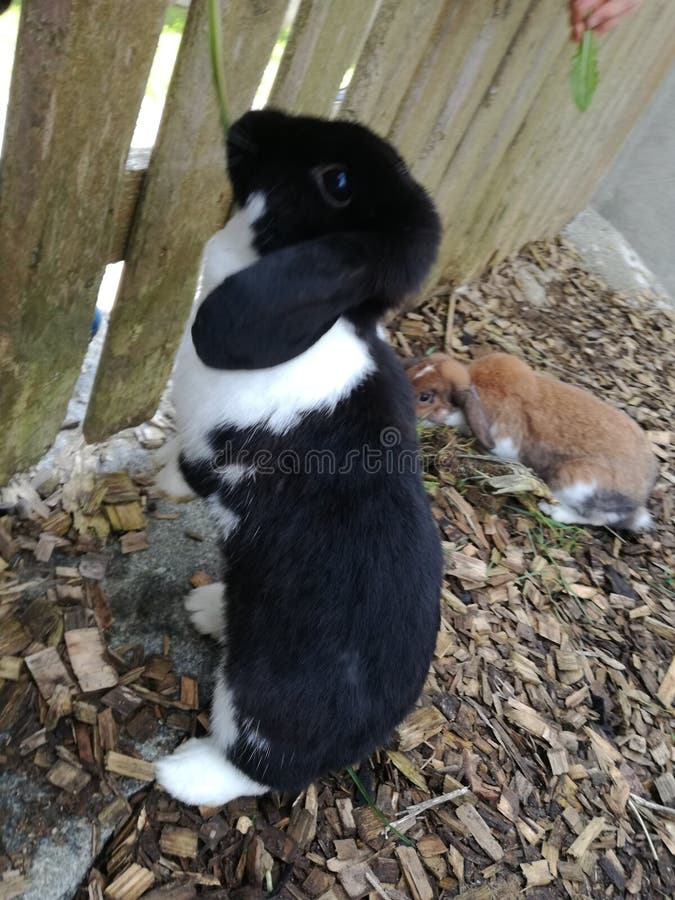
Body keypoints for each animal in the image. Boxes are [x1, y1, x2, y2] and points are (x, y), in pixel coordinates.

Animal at [154, 109, 443, 807]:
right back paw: (210, 609)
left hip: (255, 701)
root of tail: (362, 740)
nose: (250, 118)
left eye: (335, 180)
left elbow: (186, 469)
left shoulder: (212, 453)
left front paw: (157, 483)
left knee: (253, 769)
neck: (328, 330)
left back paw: (178, 773)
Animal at [405, 352, 658, 531]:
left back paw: (552, 510)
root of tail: (639, 497)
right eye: (413, 371)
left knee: (597, 518)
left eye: (425, 397)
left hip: (576, 482)